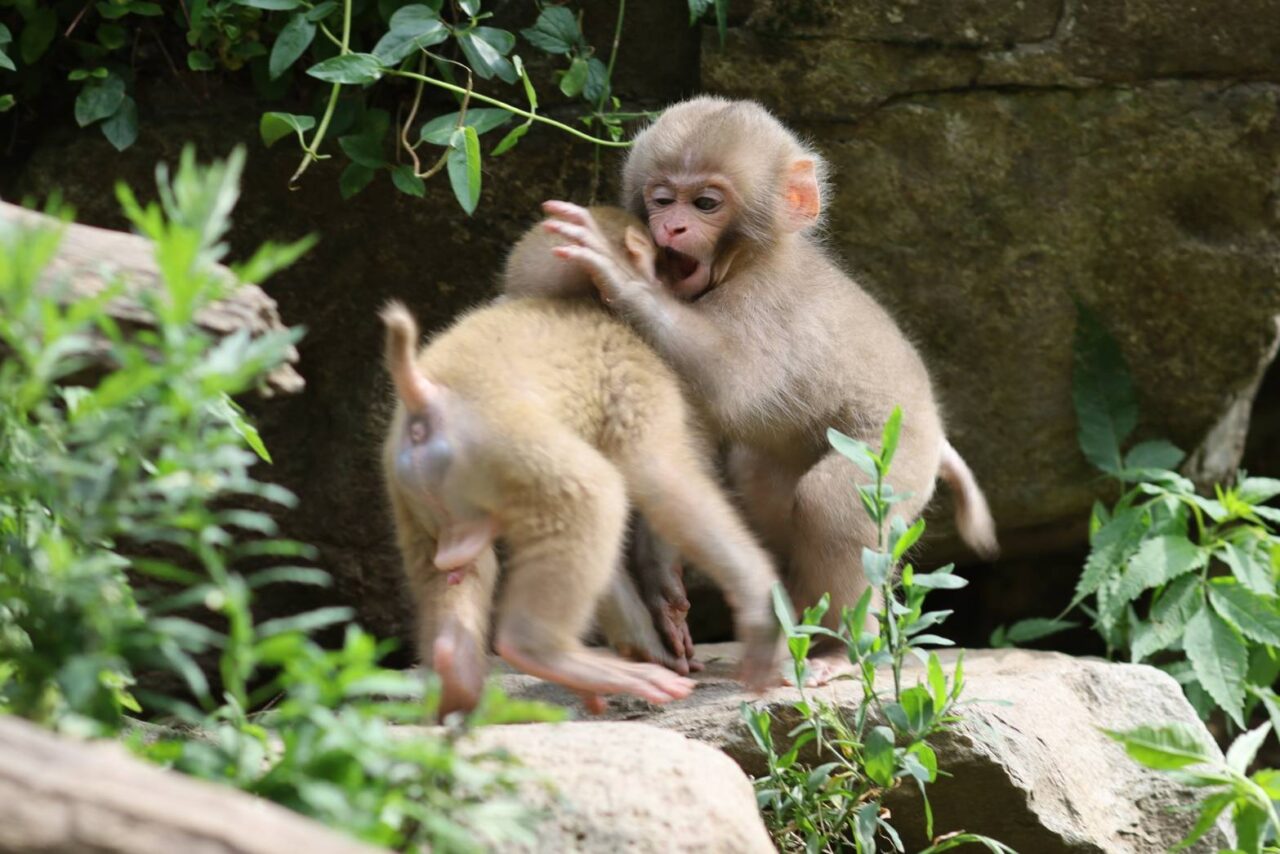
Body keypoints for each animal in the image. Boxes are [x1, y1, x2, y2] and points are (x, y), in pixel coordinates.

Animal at [379, 229, 782, 714]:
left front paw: (652, 634)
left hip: (411, 491)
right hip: (501, 448)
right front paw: (759, 607)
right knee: (595, 493)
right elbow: (664, 479)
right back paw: (544, 652)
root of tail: (426, 399)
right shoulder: (640, 373)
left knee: (450, 561)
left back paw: (455, 668)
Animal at [542, 96, 998, 685]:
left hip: (900, 455)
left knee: (833, 504)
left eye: (705, 202)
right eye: (662, 199)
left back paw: (840, 651)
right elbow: (681, 453)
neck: (744, 264)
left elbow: (732, 382)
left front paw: (624, 276)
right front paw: (664, 592)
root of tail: (937, 435)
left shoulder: (767, 300)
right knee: (759, 483)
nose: (672, 225)